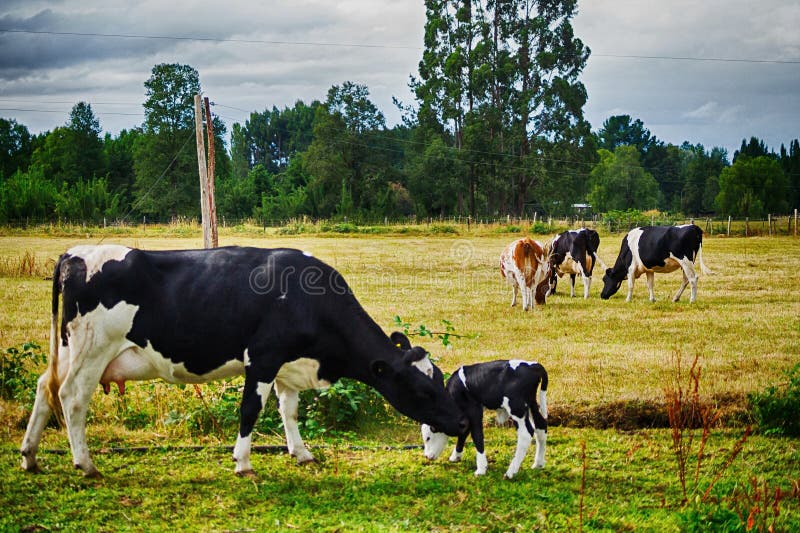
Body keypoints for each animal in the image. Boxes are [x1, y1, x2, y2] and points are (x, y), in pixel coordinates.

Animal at [20, 244, 468, 477]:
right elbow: (252, 409)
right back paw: (85, 463)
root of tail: (76, 253)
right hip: (91, 349)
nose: (463, 422)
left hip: (66, 349)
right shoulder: (264, 359)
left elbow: (289, 411)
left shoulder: (289, 366)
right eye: (424, 389)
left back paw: (30, 457)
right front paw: (243, 462)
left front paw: (301, 452)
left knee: (44, 388)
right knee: (72, 398)